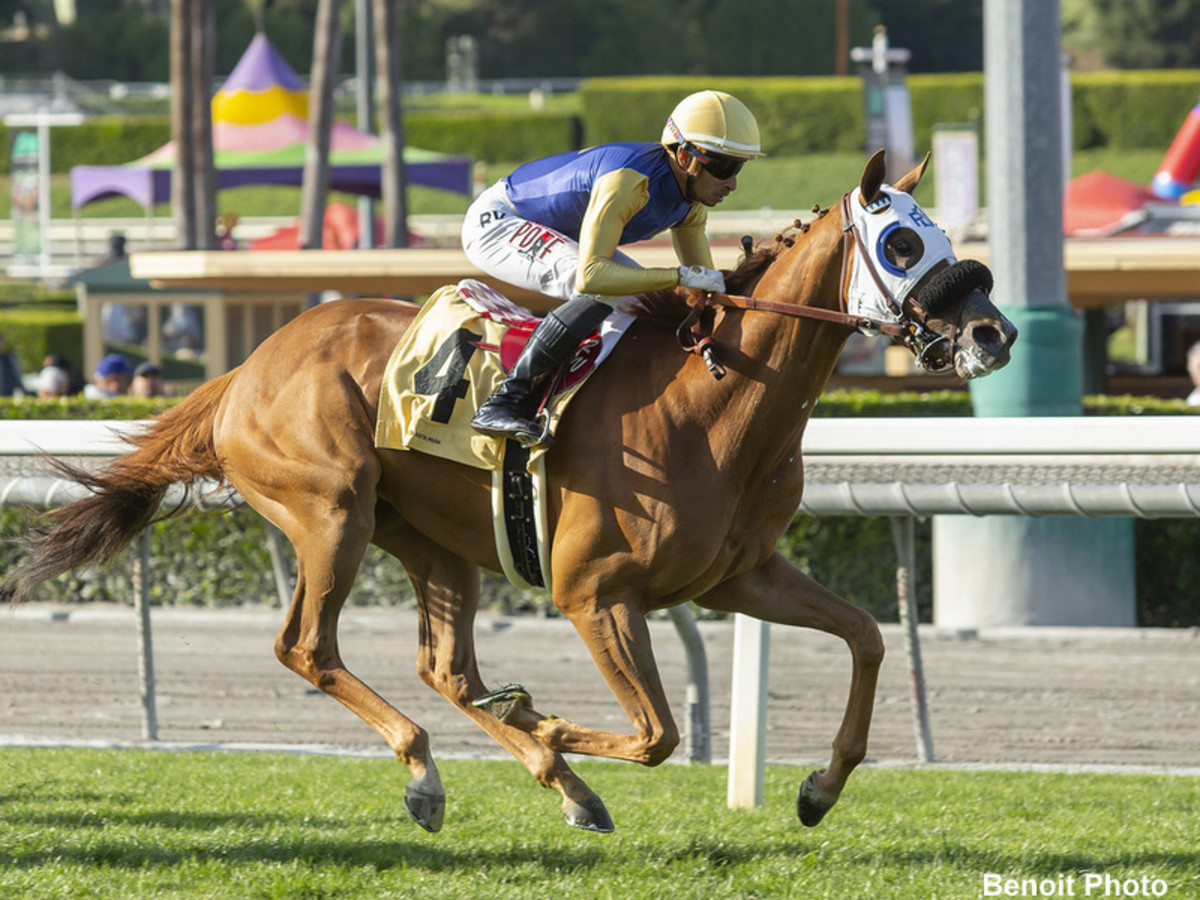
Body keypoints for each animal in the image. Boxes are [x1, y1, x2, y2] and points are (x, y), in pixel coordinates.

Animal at [6, 151, 1016, 834]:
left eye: (944, 237)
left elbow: (866, 637)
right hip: (331, 511)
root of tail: (247, 368)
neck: (716, 402)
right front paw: (548, 721)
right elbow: (655, 732)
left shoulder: (739, 576)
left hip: (431, 539)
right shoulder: (593, 593)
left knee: (446, 668)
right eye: (901, 240)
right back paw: (437, 769)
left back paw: (537, 775)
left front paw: (817, 788)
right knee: (307, 648)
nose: (994, 334)